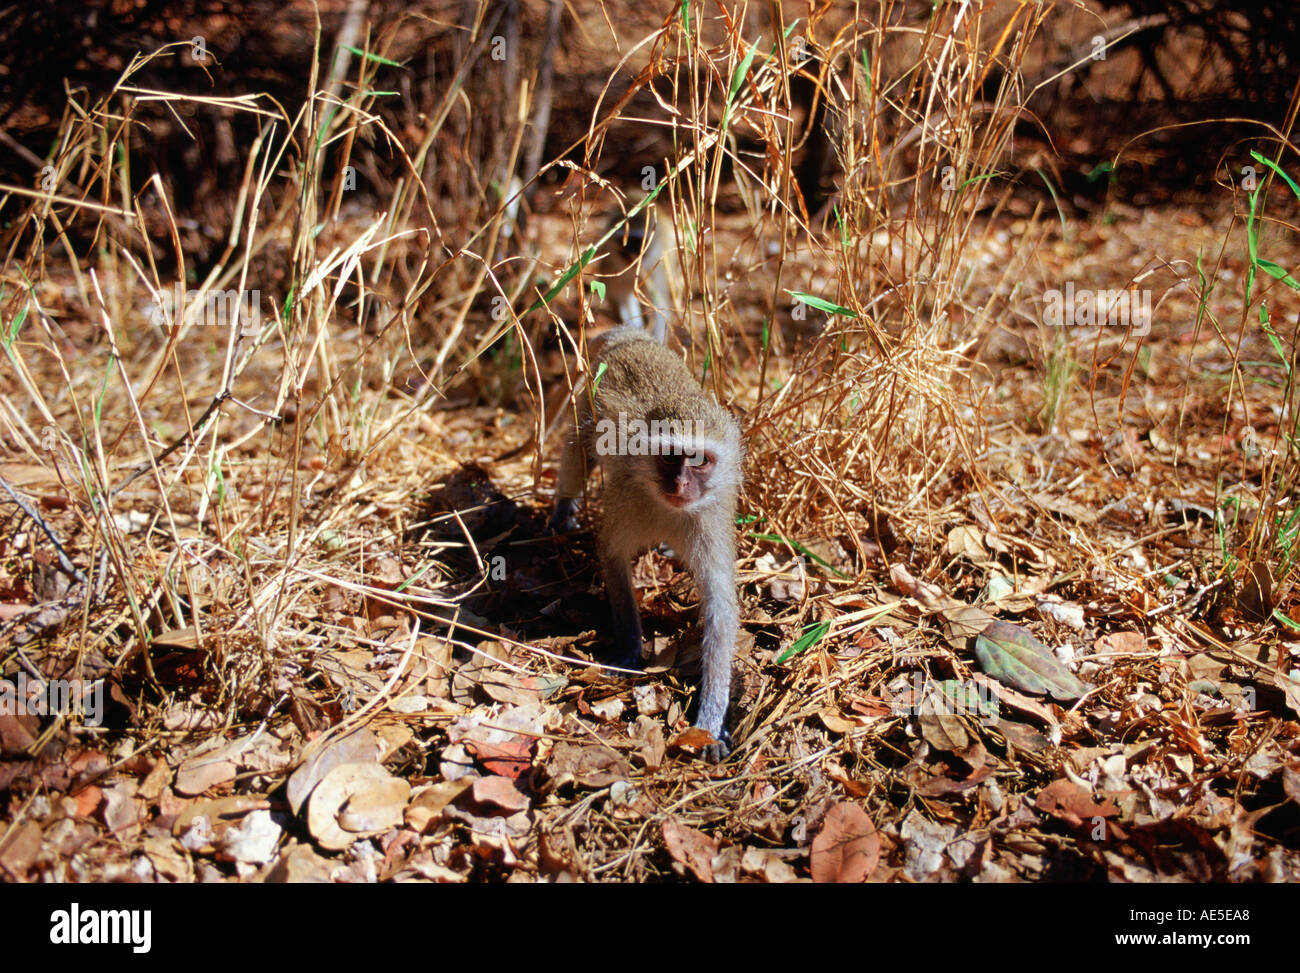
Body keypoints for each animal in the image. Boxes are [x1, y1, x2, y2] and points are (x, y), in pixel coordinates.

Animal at [548, 326, 742, 759]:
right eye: (671, 458)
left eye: (700, 460)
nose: (681, 486)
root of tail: (629, 335)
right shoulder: (627, 498)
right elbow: (613, 555)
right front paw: (629, 648)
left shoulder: (710, 515)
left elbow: (720, 605)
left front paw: (710, 719)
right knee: (578, 450)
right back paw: (563, 508)